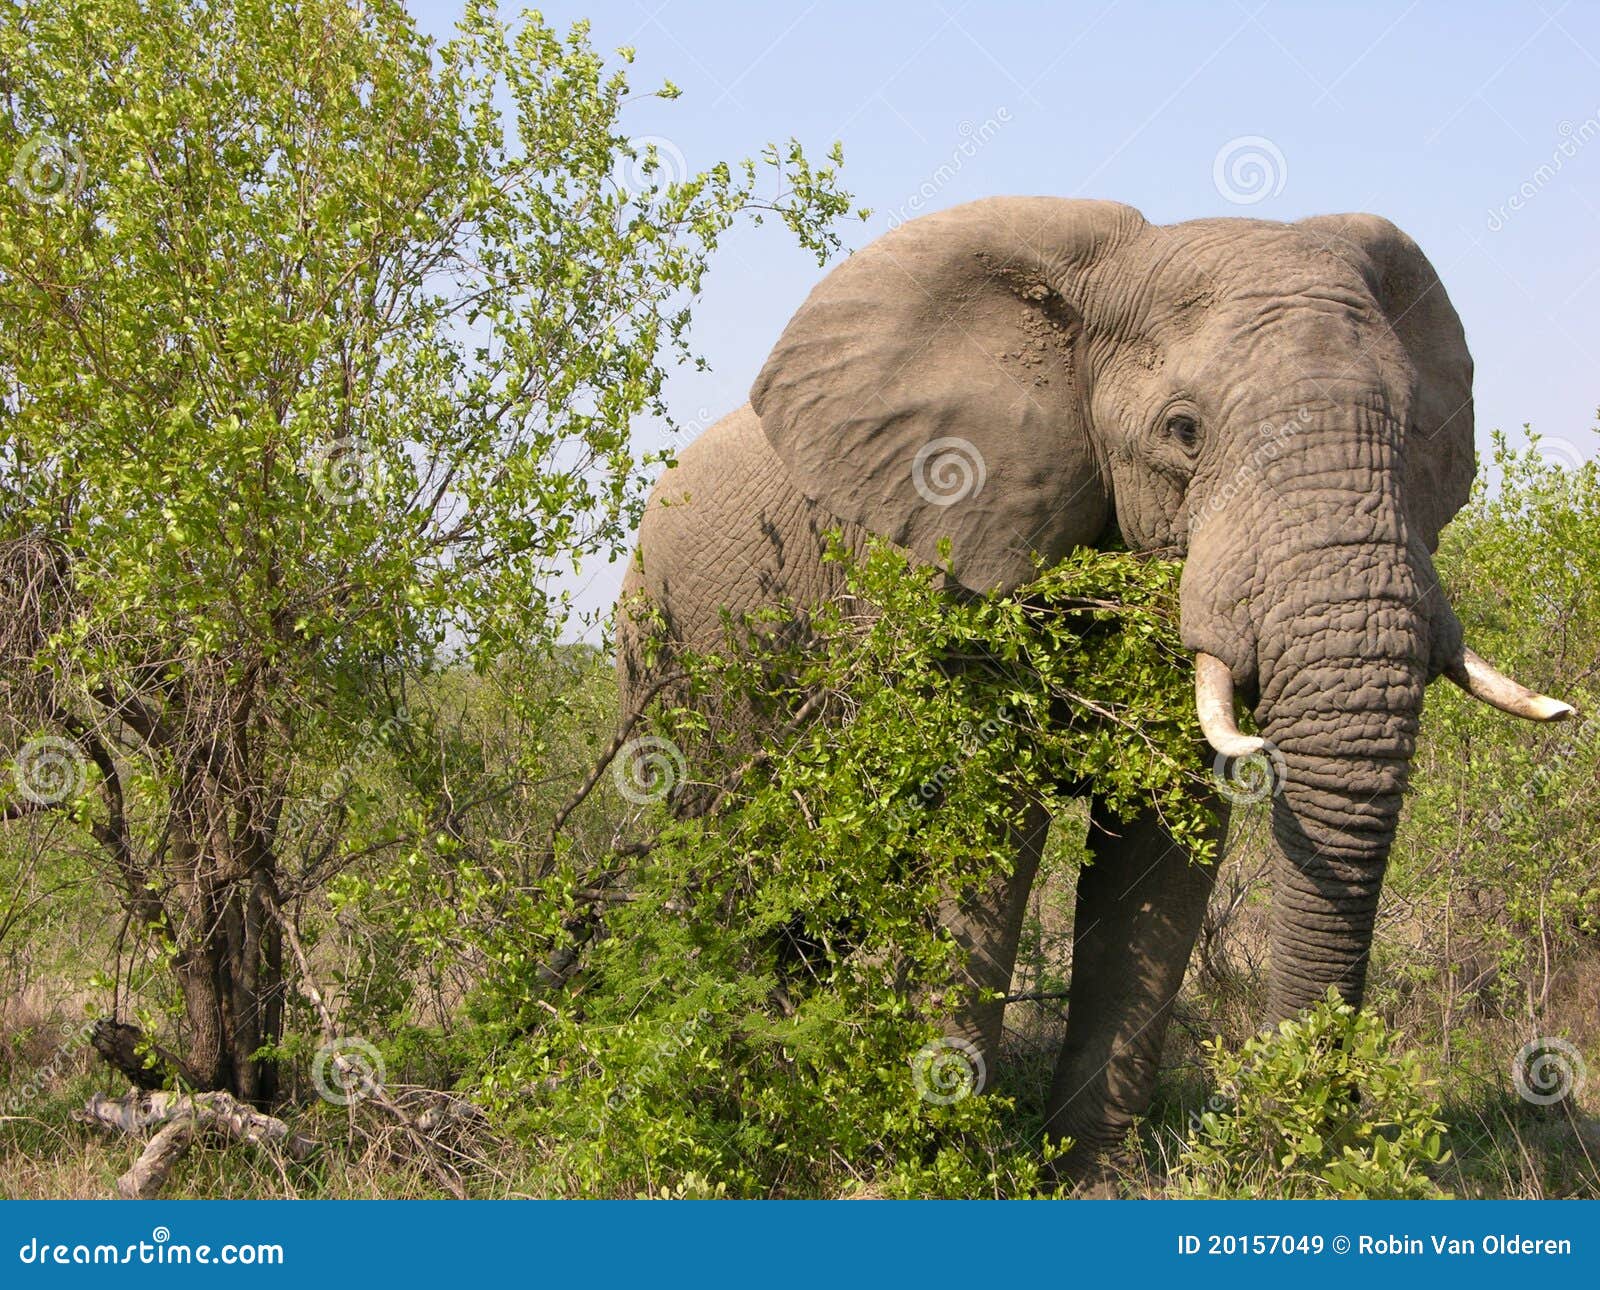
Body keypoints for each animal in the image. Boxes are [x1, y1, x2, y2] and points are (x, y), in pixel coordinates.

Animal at [614, 197, 1572, 1177]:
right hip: (671, 662)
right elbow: (987, 826)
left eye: (1415, 428)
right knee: (733, 867)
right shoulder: (944, 568)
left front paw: (1089, 1180)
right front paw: (939, 1162)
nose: (1289, 1136)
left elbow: (1161, 846)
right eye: (1183, 431)